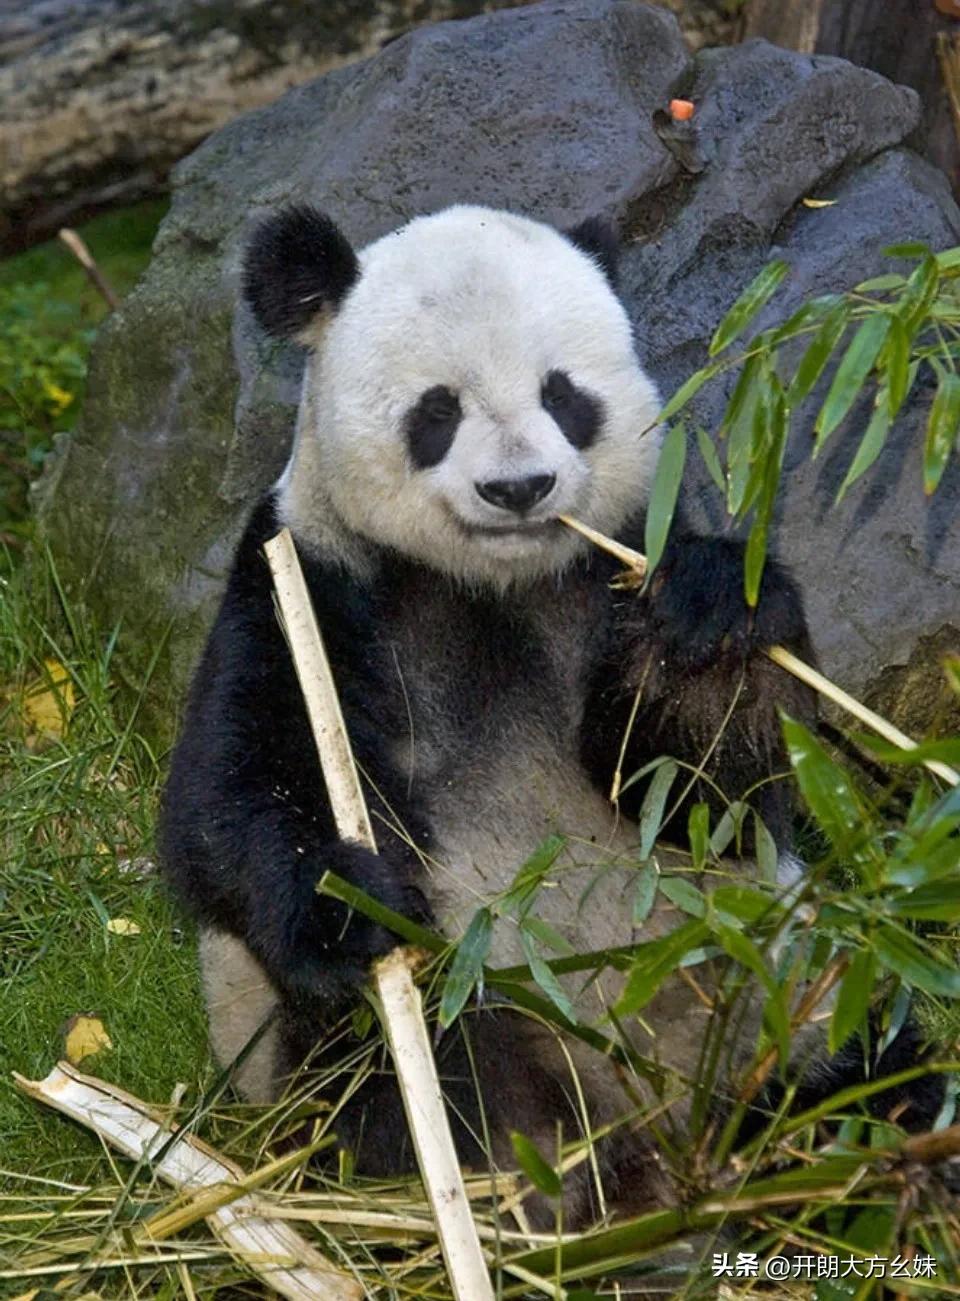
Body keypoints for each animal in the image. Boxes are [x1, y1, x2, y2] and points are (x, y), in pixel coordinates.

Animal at [159, 203, 937, 1230]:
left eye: (564, 396)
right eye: (437, 410)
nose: (519, 487)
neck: (494, 584)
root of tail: (662, 1122)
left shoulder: (609, 568)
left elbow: (695, 793)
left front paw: (706, 620)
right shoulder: (307, 584)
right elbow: (230, 797)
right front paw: (350, 906)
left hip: (783, 980)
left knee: (865, 1058)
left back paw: (874, 1156)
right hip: (432, 1012)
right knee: (432, 1072)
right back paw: (538, 1187)